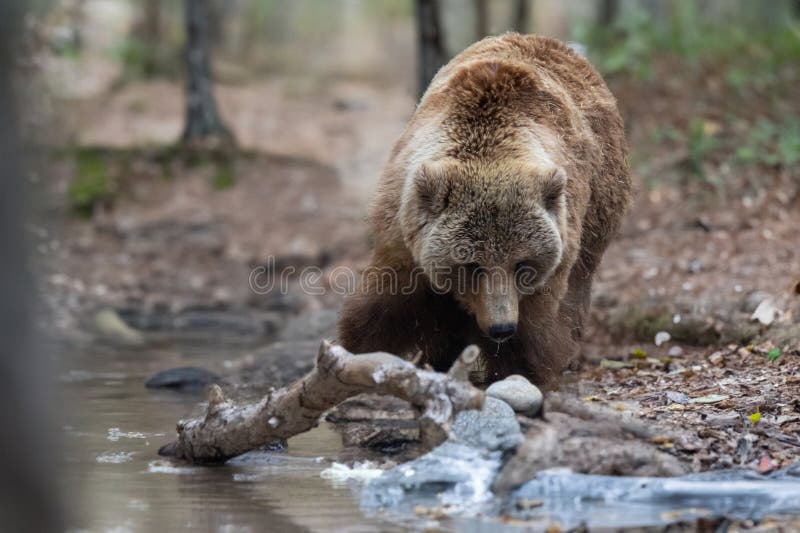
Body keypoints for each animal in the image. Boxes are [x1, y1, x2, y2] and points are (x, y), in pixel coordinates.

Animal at [338, 34, 631, 387]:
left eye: (523, 264)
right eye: (471, 265)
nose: (501, 327)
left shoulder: (557, 244)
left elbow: (534, 325)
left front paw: (521, 370)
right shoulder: (402, 227)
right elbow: (386, 304)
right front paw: (356, 352)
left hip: (598, 210)